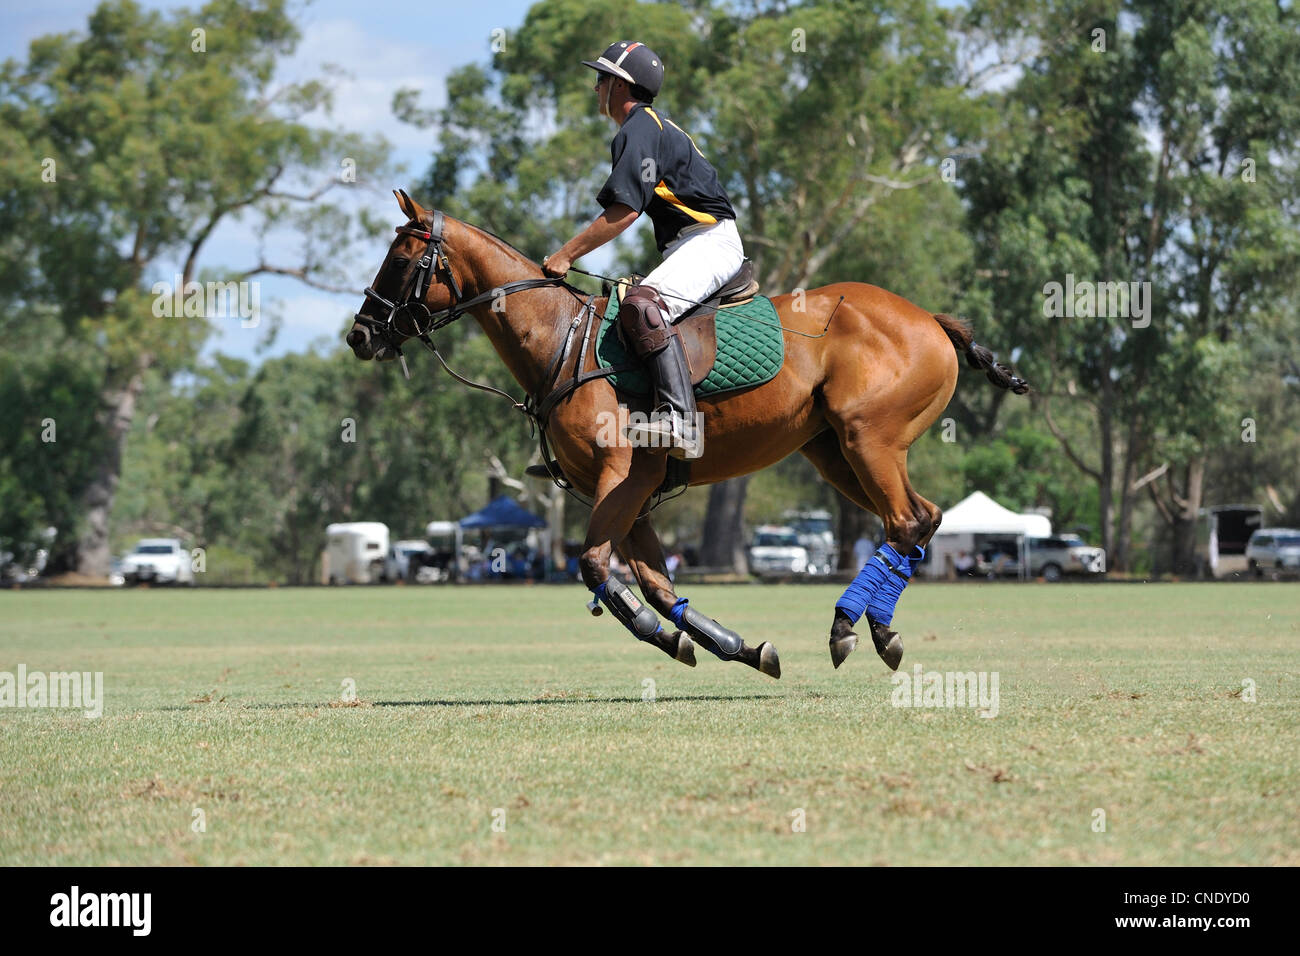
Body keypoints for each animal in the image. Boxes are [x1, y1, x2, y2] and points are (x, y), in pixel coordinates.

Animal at [348, 190, 1028, 679]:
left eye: (401, 259)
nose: (359, 335)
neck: (561, 341)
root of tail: (932, 320)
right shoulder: (635, 492)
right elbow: (654, 581)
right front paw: (734, 647)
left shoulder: (623, 475)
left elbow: (595, 564)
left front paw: (669, 636)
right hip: (833, 451)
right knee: (922, 517)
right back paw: (880, 631)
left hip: (869, 438)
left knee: (906, 520)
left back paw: (846, 627)